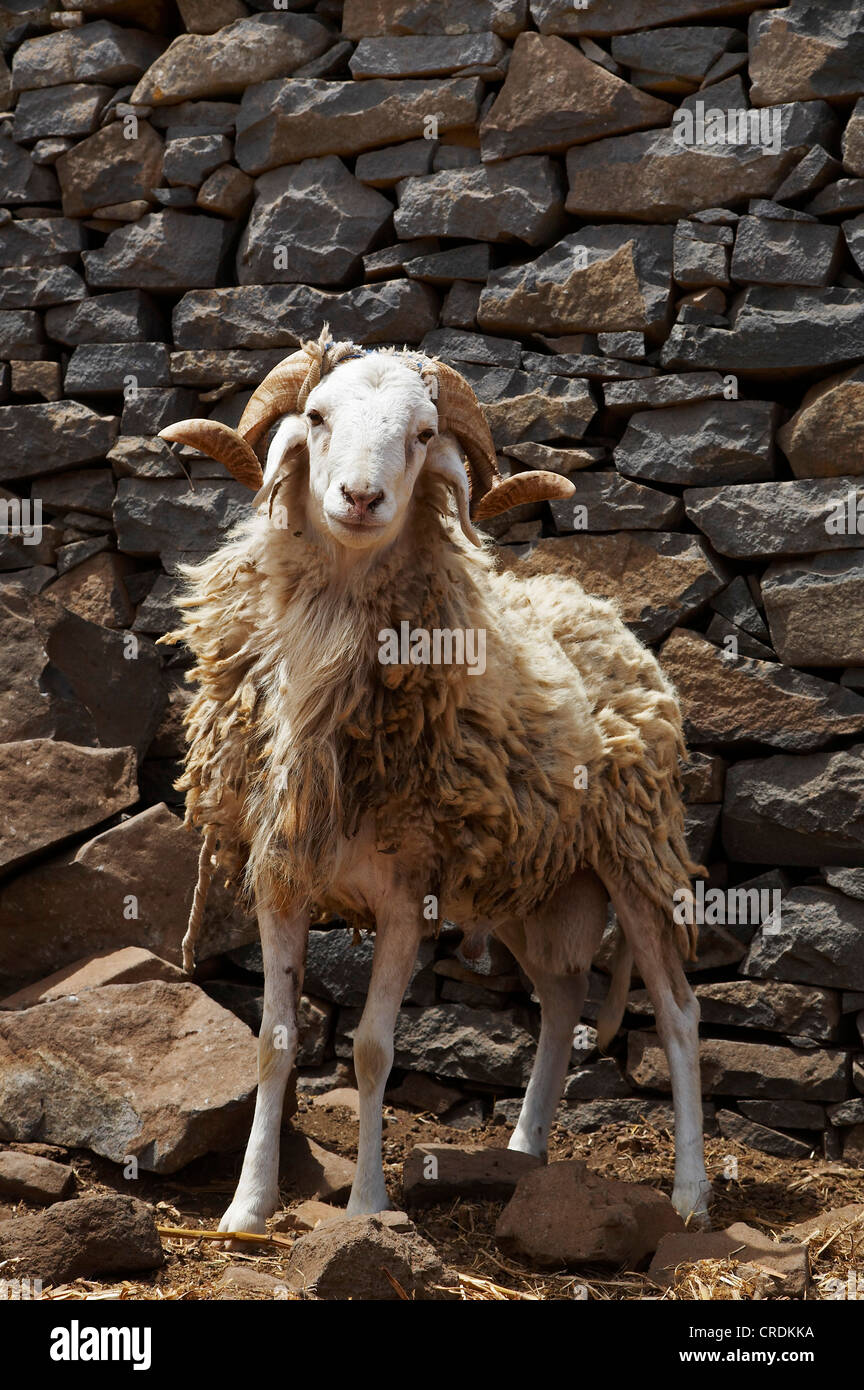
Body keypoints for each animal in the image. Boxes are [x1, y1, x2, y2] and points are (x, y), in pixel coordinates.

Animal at [159, 328, 712, 1236]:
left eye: (422, 434)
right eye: (317, 415)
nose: (359, 497)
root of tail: (597, 608)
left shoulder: (403, 895)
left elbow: (373, 1049)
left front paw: (367, 1206)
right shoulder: (281, 877)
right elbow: (275, 1040)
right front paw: (247, 1207)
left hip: (638, 858)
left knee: (677, 1013)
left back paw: (692, 1194)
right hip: (535, 881)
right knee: (561, 1001)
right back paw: (524, 1152)